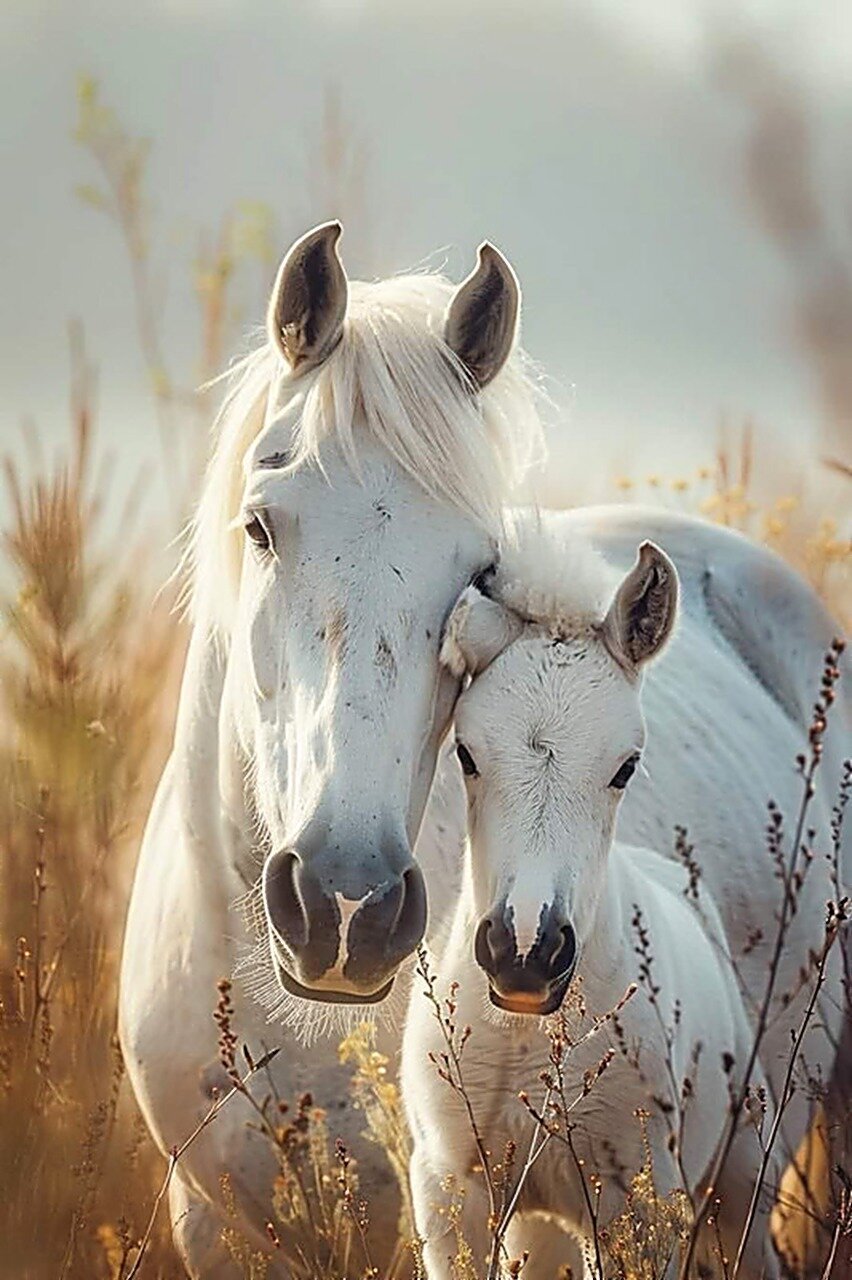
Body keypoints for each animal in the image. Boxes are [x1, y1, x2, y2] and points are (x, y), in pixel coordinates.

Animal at [403, 508, 849, 1279]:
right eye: (465, 753)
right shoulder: (450, 1190)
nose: (527, 954)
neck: (525, 1042)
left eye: (626, 766)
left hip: (740, 1176)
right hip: (542, 1223)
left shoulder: (636, 1205)